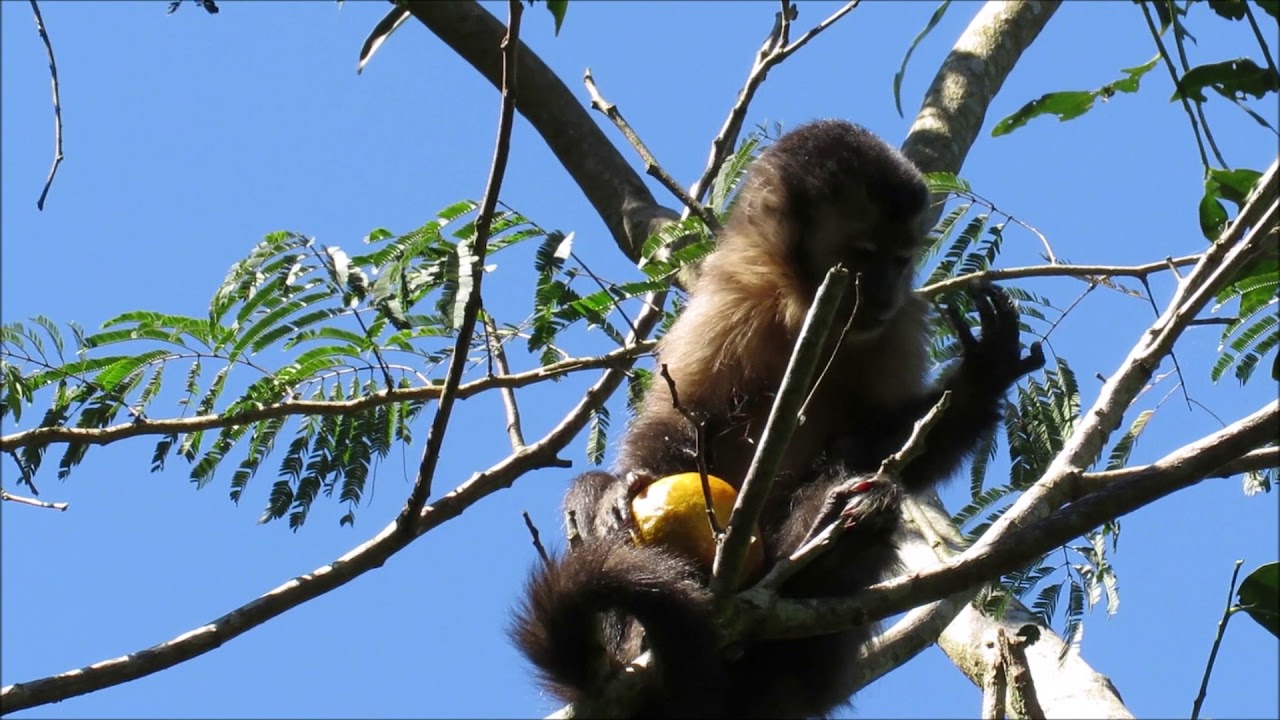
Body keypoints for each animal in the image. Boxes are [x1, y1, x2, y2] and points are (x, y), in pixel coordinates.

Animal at [512, 120, 1045, 718]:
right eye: (864, 256)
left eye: (902, 260)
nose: (885, 291)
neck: (805, 310)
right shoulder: (730, 296)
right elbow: (678, 424)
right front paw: (615, 492)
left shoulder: (901, 323)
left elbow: (885, 444)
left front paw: (983, 375)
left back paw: (831, 540)